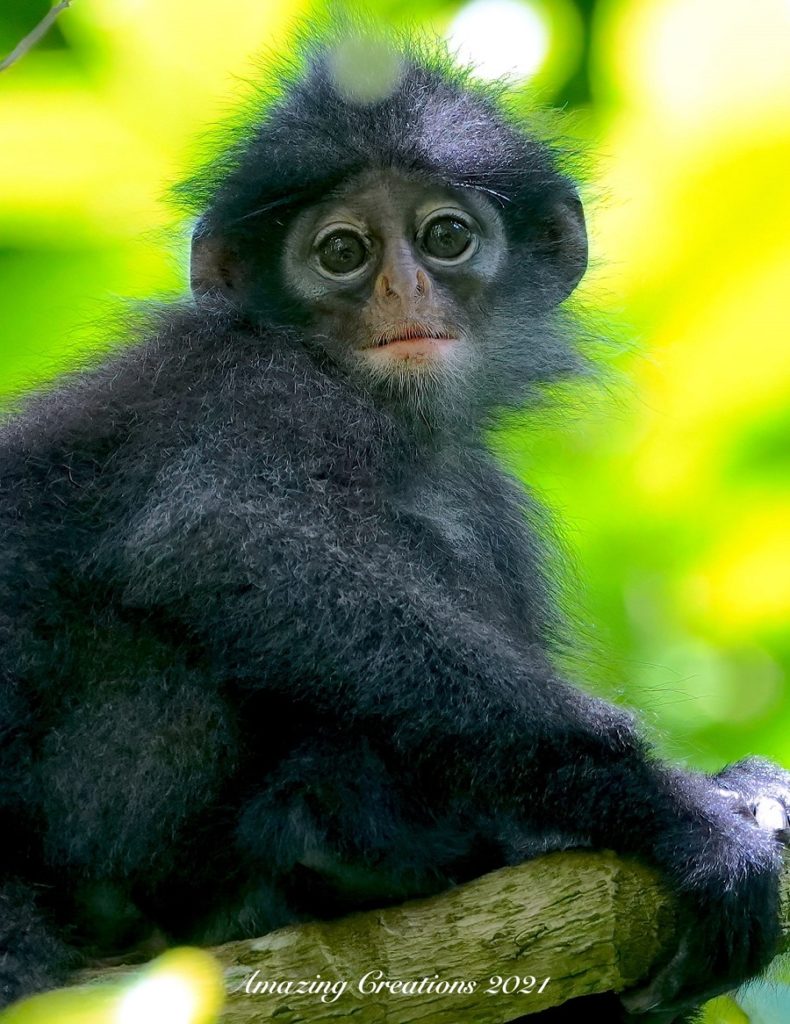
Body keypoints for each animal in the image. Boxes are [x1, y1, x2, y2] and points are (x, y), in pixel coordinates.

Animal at [0, 23, 788, 1022]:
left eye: (445, 236)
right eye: (341, 251)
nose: (401, 289)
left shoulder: (490, 506)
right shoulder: (250, 386)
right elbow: (224, 537)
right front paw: (673, 809)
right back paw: (332, 834)